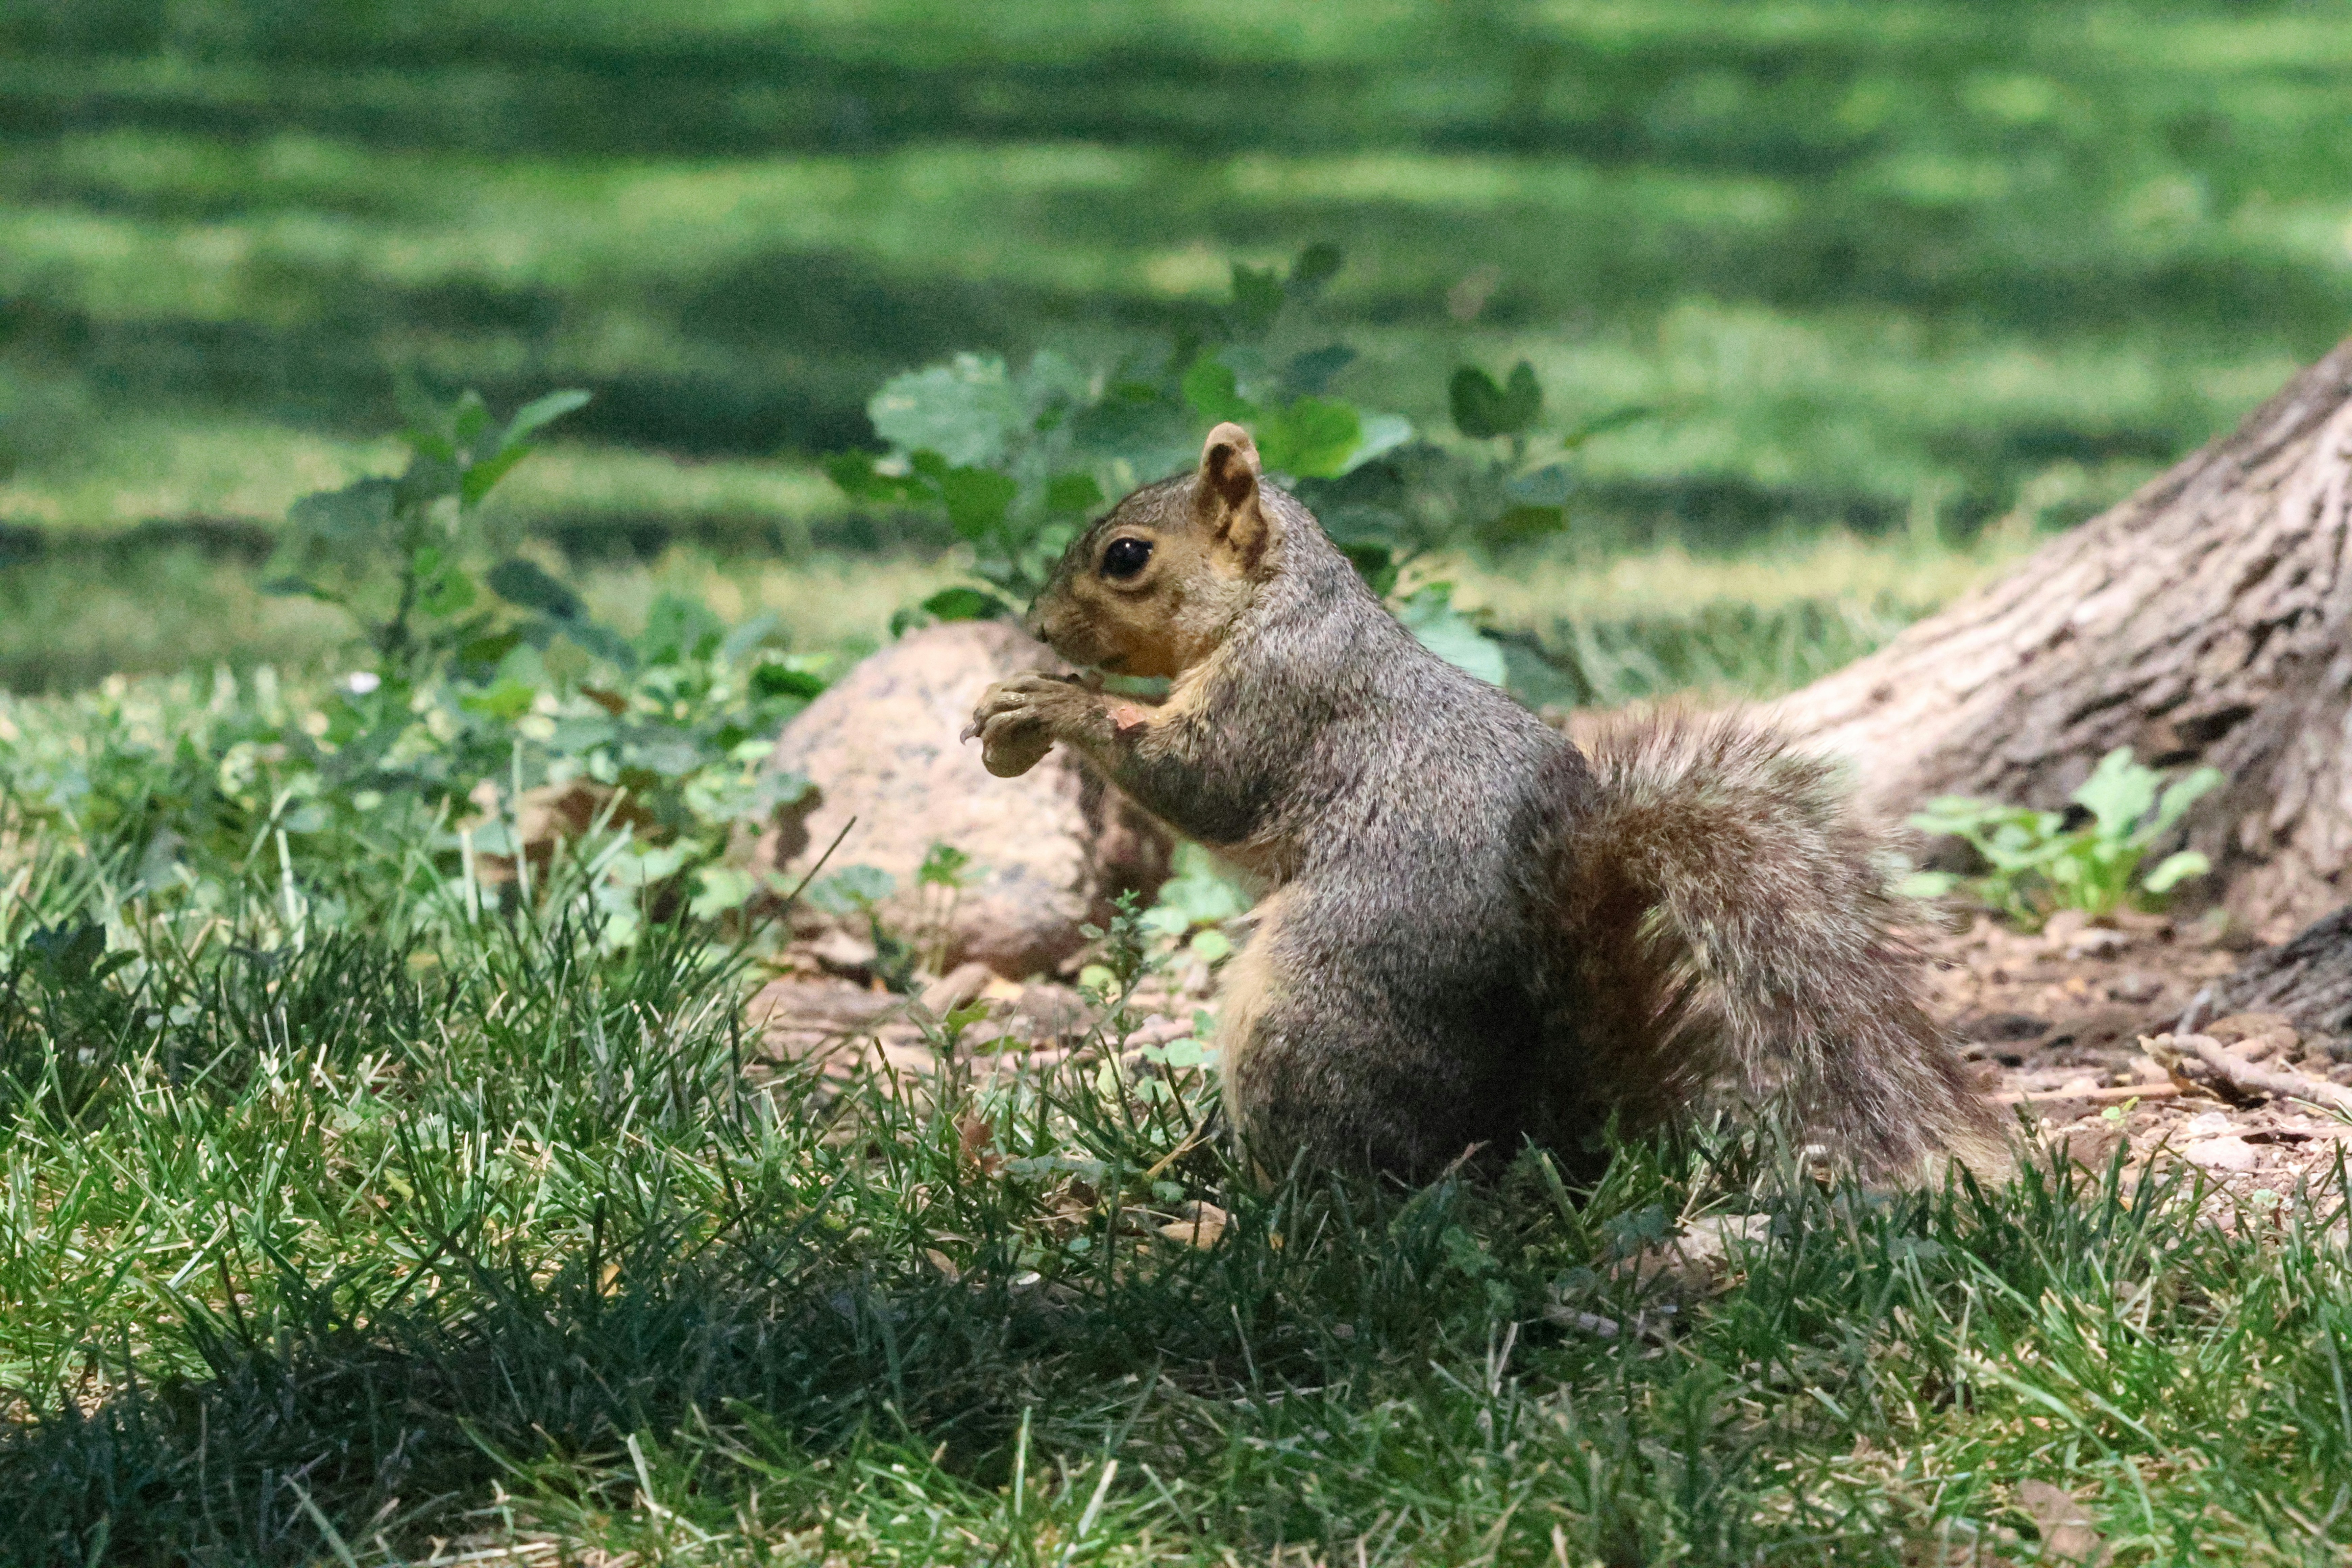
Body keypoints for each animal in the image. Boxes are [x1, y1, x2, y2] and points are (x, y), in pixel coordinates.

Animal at [962, 422, 2006, 1182]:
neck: (1275, 604)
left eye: (1126, 556)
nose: (1039, 628)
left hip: (1310, 1008)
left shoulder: (1283, 699)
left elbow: (1199, 783)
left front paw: (1055, 703)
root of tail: (1531, 1137)